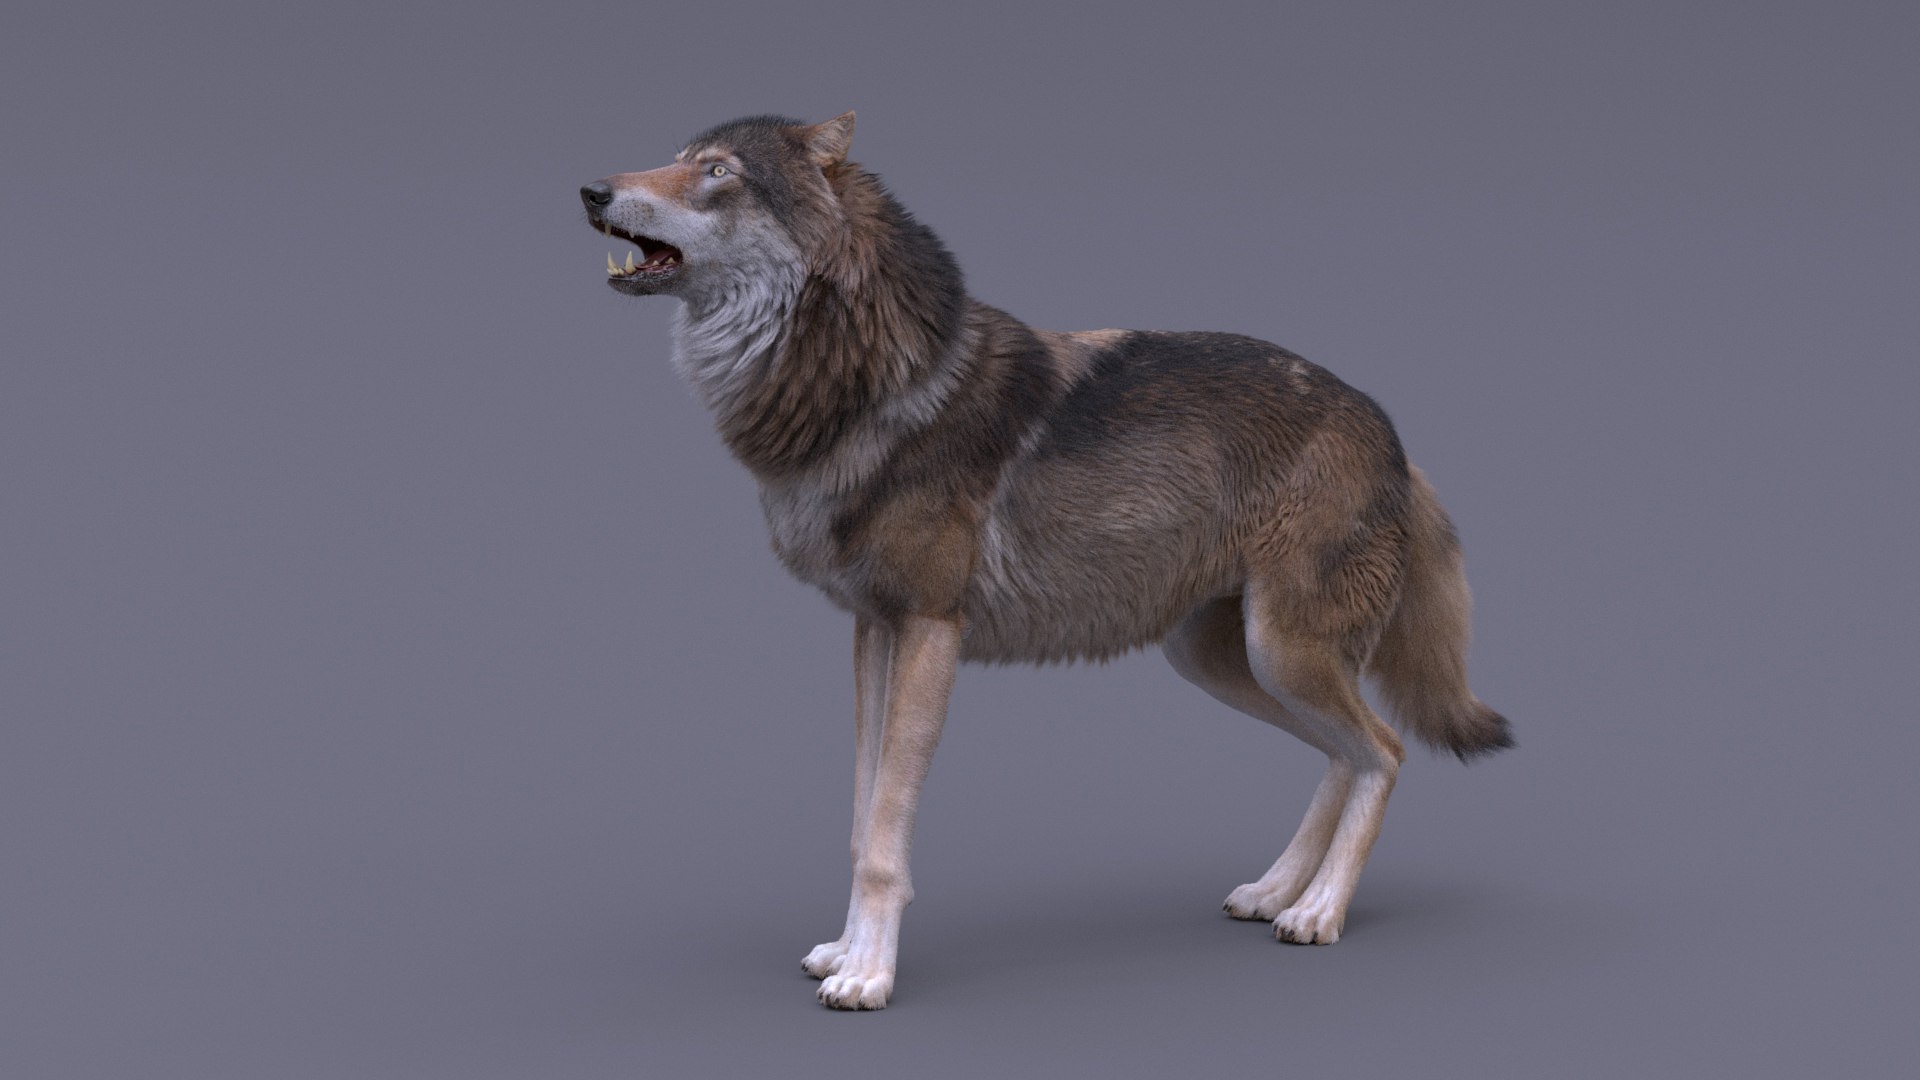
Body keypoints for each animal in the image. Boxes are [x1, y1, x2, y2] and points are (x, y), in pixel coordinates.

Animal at [580, 113, 1512, 1010]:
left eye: (717, 172)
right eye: (677, 156)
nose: (590, 189)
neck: (865, 385)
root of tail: (1392, 435)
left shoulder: (930, 631)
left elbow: (883, 834)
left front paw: (870, 977)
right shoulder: (872, 631)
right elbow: (859, 819)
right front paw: (845, 952)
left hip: (1280, 655)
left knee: (1384, 751)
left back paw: (1319, 911)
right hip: (1229, 663)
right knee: (1345, 753)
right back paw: (1277, 891)